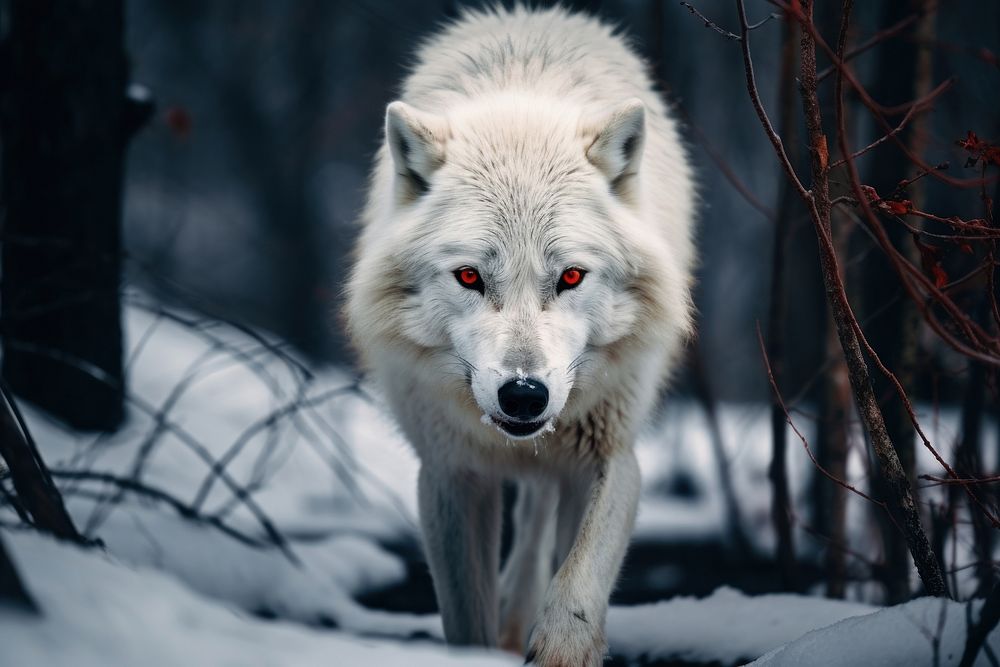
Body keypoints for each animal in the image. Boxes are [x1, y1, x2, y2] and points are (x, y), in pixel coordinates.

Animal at [346, 5, 695, 666]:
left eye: (571, 276)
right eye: (469, 276)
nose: (525, 396)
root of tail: (538, 14)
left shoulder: (611, 452)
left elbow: (580, 579)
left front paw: (561, 644)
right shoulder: (449, 472)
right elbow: (465, 616)